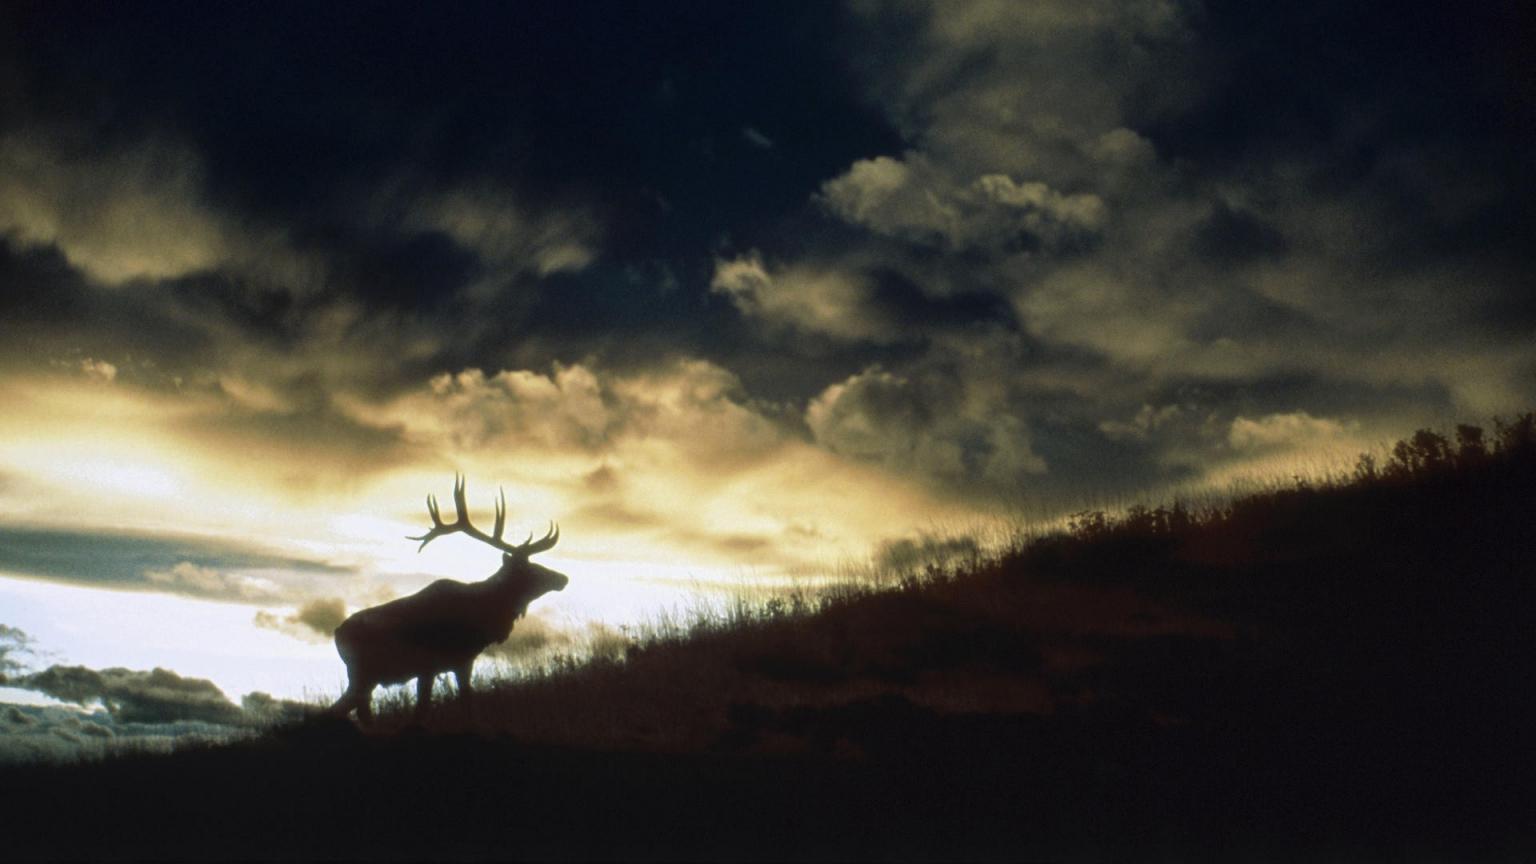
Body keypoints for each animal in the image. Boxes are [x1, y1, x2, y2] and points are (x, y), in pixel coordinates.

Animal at [329, 475, 568, 724]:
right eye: (528, 568)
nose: (562, 578)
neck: (483, 615)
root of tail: (337, 633)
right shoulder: (441, 664)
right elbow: (437, 708)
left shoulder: (450, 664)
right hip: (362, 674)